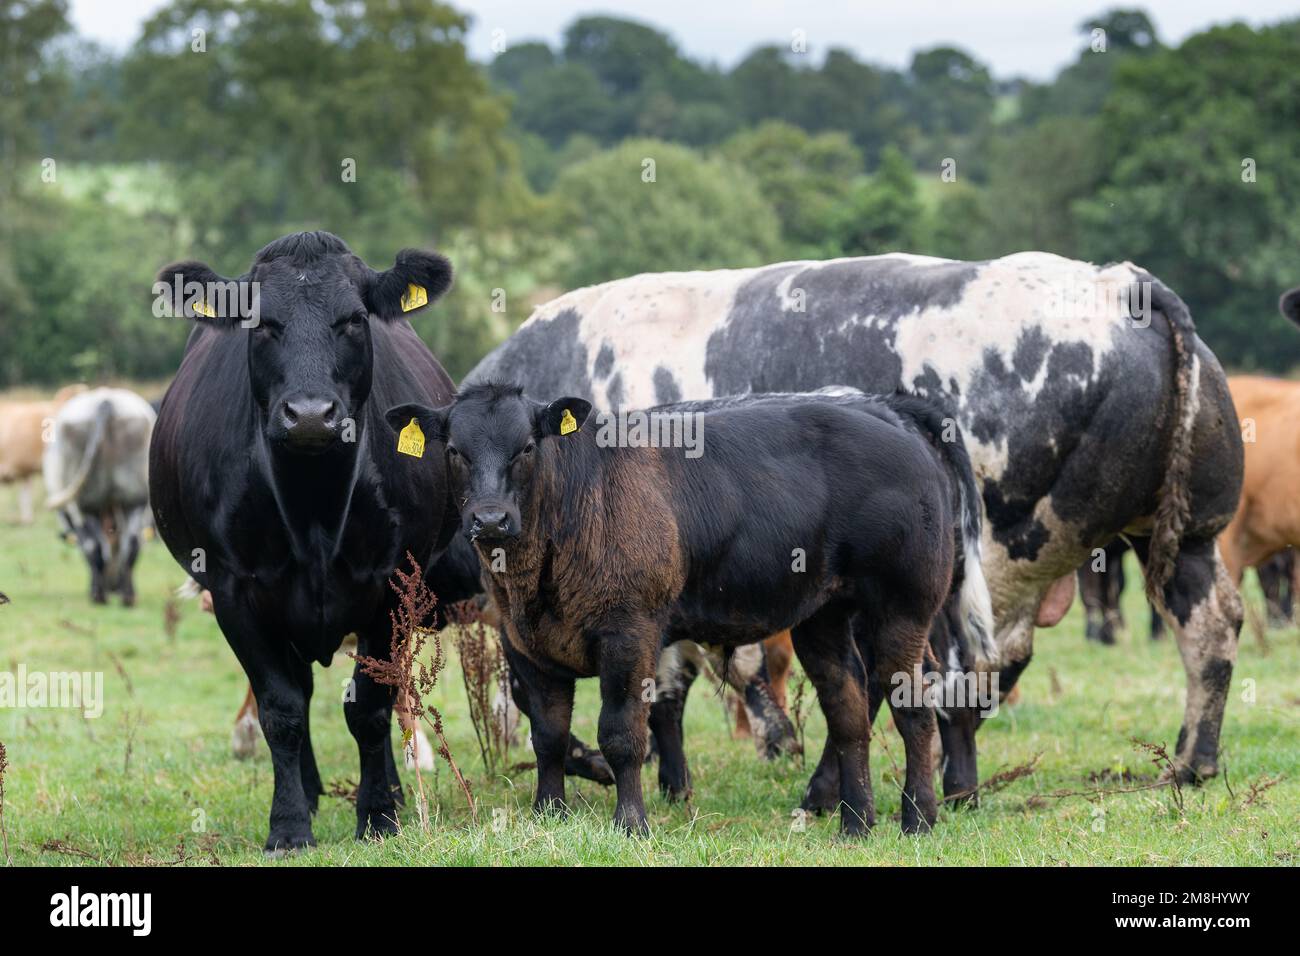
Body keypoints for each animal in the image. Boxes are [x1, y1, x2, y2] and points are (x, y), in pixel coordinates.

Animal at [43, 387, 155, 605]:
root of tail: (105, 401)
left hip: (86, 505)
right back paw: (128, 597)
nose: (113, 586)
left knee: (93, 546)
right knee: (131, 544)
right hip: (136, 499)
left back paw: (99, 596)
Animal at [148, 230, 458, 852]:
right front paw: (289, 824)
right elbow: (282, 710)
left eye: (354, 320)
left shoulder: (389, 587)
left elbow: (370, 706)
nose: (311, 415)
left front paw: (378, 816)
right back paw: (311, 793)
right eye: (262, 322)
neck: (314, 503)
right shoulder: (236, 592)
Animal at [386, 383, 995, 835]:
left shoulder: (629, 632)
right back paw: (855, 823)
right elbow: (549, 735)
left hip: (904, 608)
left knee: (912, 706)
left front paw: (631, 824)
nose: (490, 519)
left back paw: (917, 819)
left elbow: (622, 733)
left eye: (526, 448)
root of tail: (890, 409)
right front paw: (549, 814)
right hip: (823, 617)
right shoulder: (525, 643)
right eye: (454, 450)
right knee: (847, 709)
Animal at [465, 252, 1245, 792]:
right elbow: (682, 682)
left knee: (944, 676)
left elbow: (689, 677)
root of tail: (1123, 283)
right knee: (1211, 627)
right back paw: (1190, 763)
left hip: (981, 563)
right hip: (1187, 534)